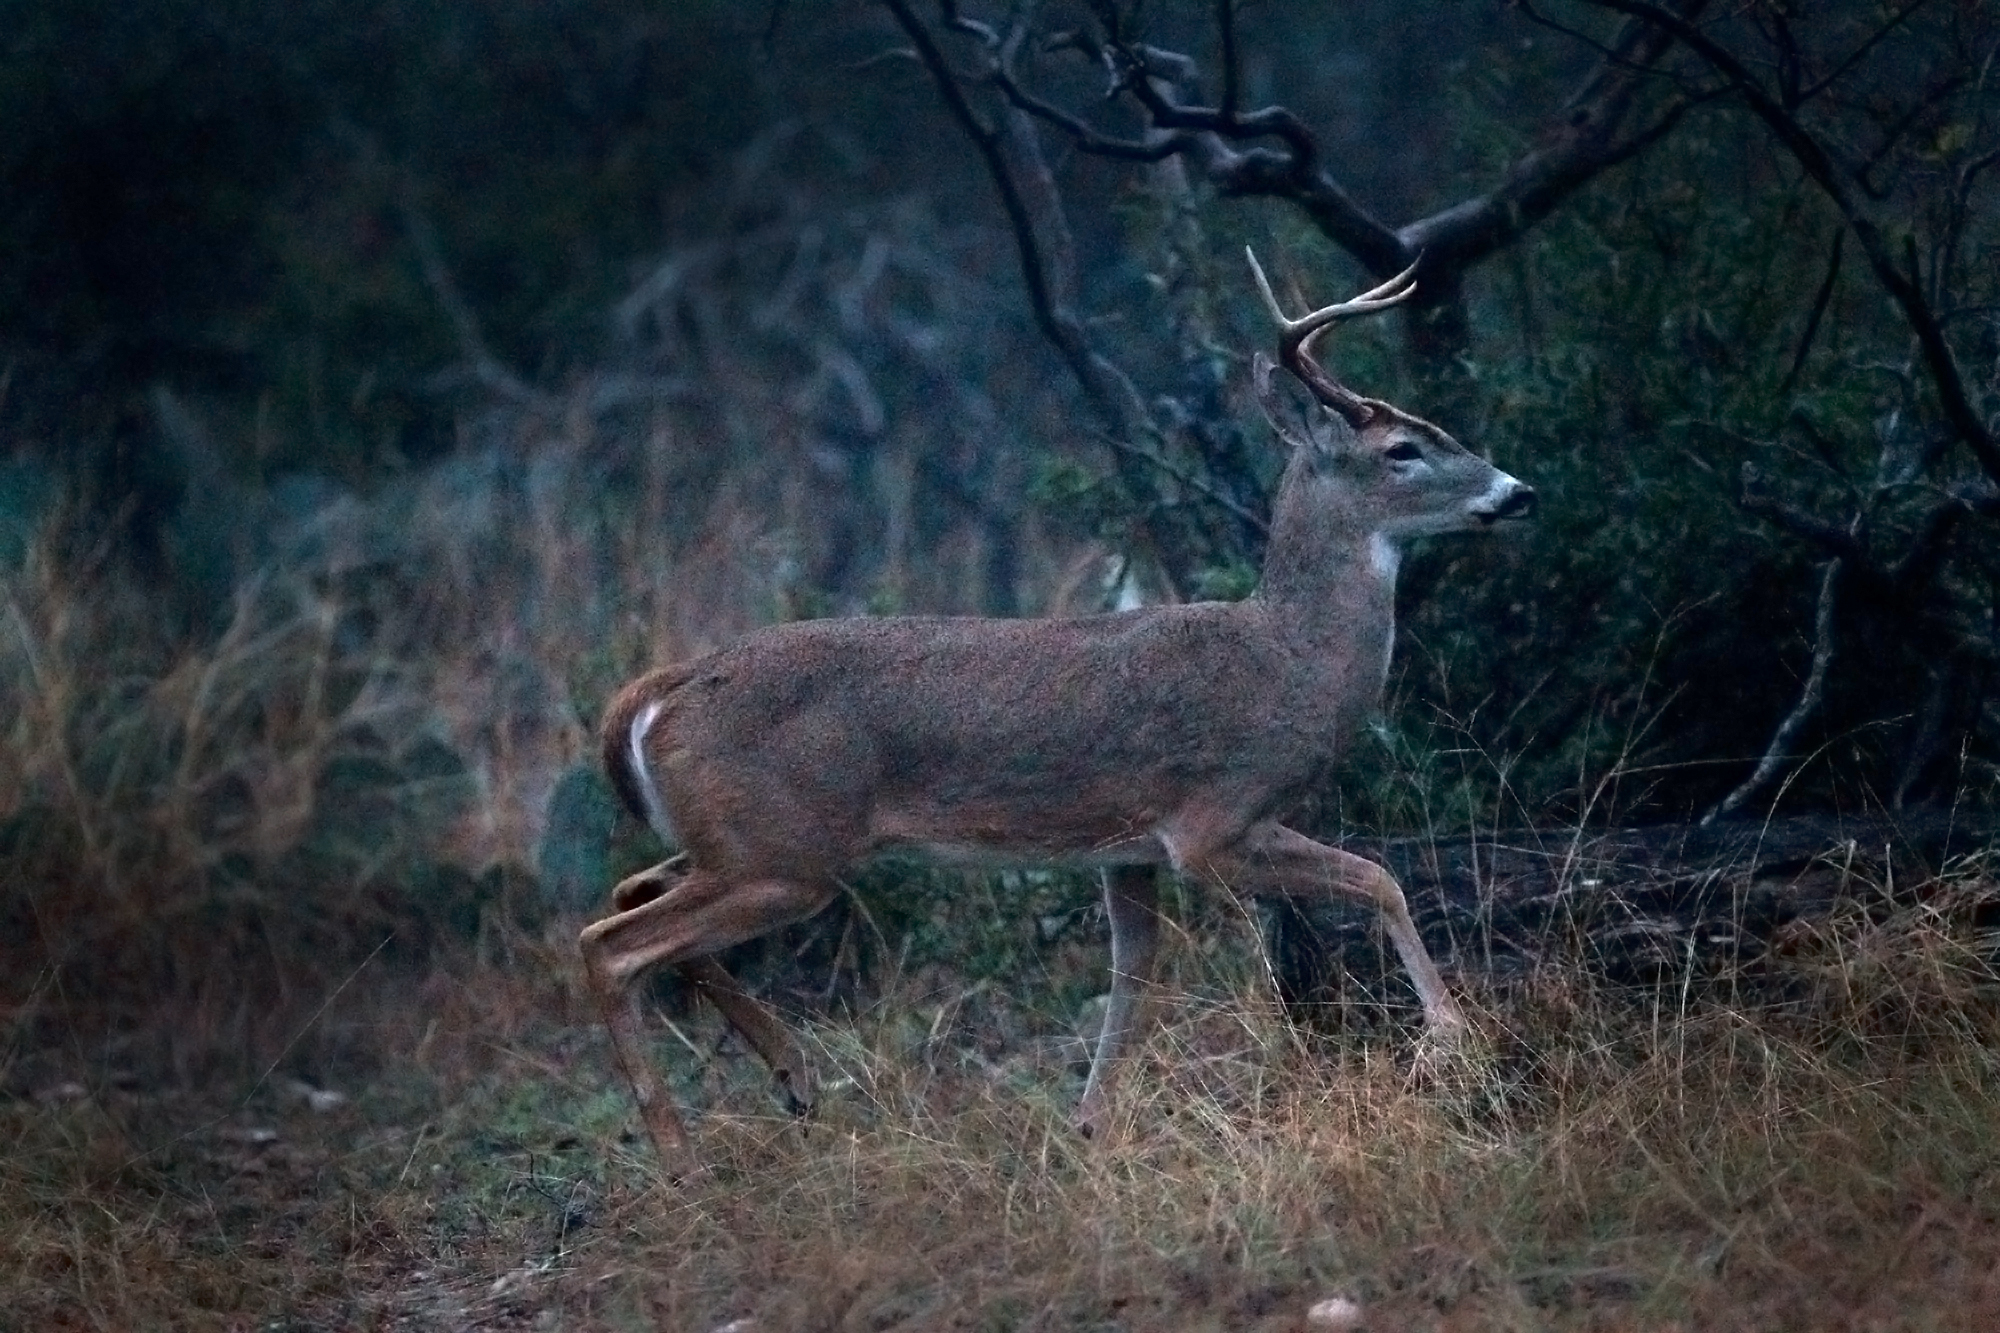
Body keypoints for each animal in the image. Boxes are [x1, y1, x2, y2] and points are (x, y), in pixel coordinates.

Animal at [579, 249, 1536, 1172]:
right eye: (1404, 448)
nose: (1517, 490)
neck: (1288, 660)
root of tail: (660, 691)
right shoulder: (1213, 823)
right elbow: (1379, 878)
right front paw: (1453, 1041)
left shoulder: (1128, 851)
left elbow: (1132, 972)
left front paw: (1089, 1127)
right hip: (786, 854)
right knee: (607, 942)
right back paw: (684, 1157)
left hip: (746, 844)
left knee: (634, 889)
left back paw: (793, 1075)